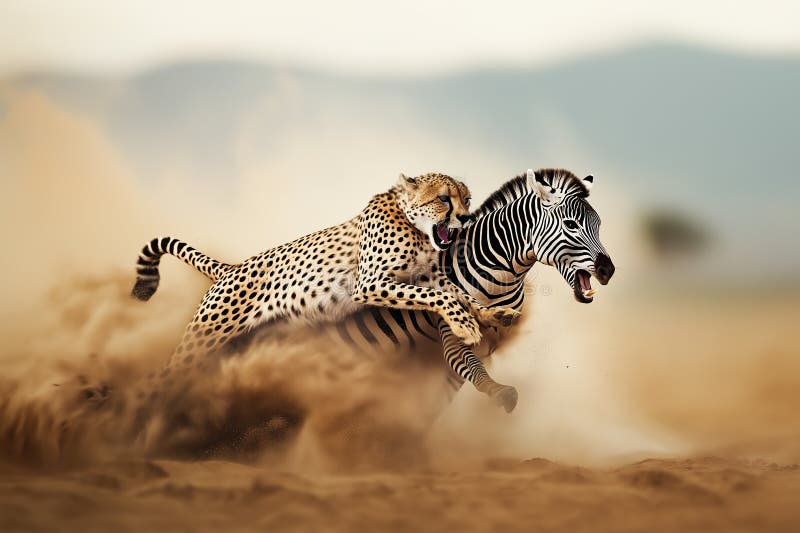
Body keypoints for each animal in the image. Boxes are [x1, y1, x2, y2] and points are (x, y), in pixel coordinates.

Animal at [327, 168, 615, 412]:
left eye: (599, 225)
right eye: (571, 224)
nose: (608, 270)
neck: (500, 276)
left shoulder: (488, 344)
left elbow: (447, 391)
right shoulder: (452, 333)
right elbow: (469, 366)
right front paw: (501, 394)